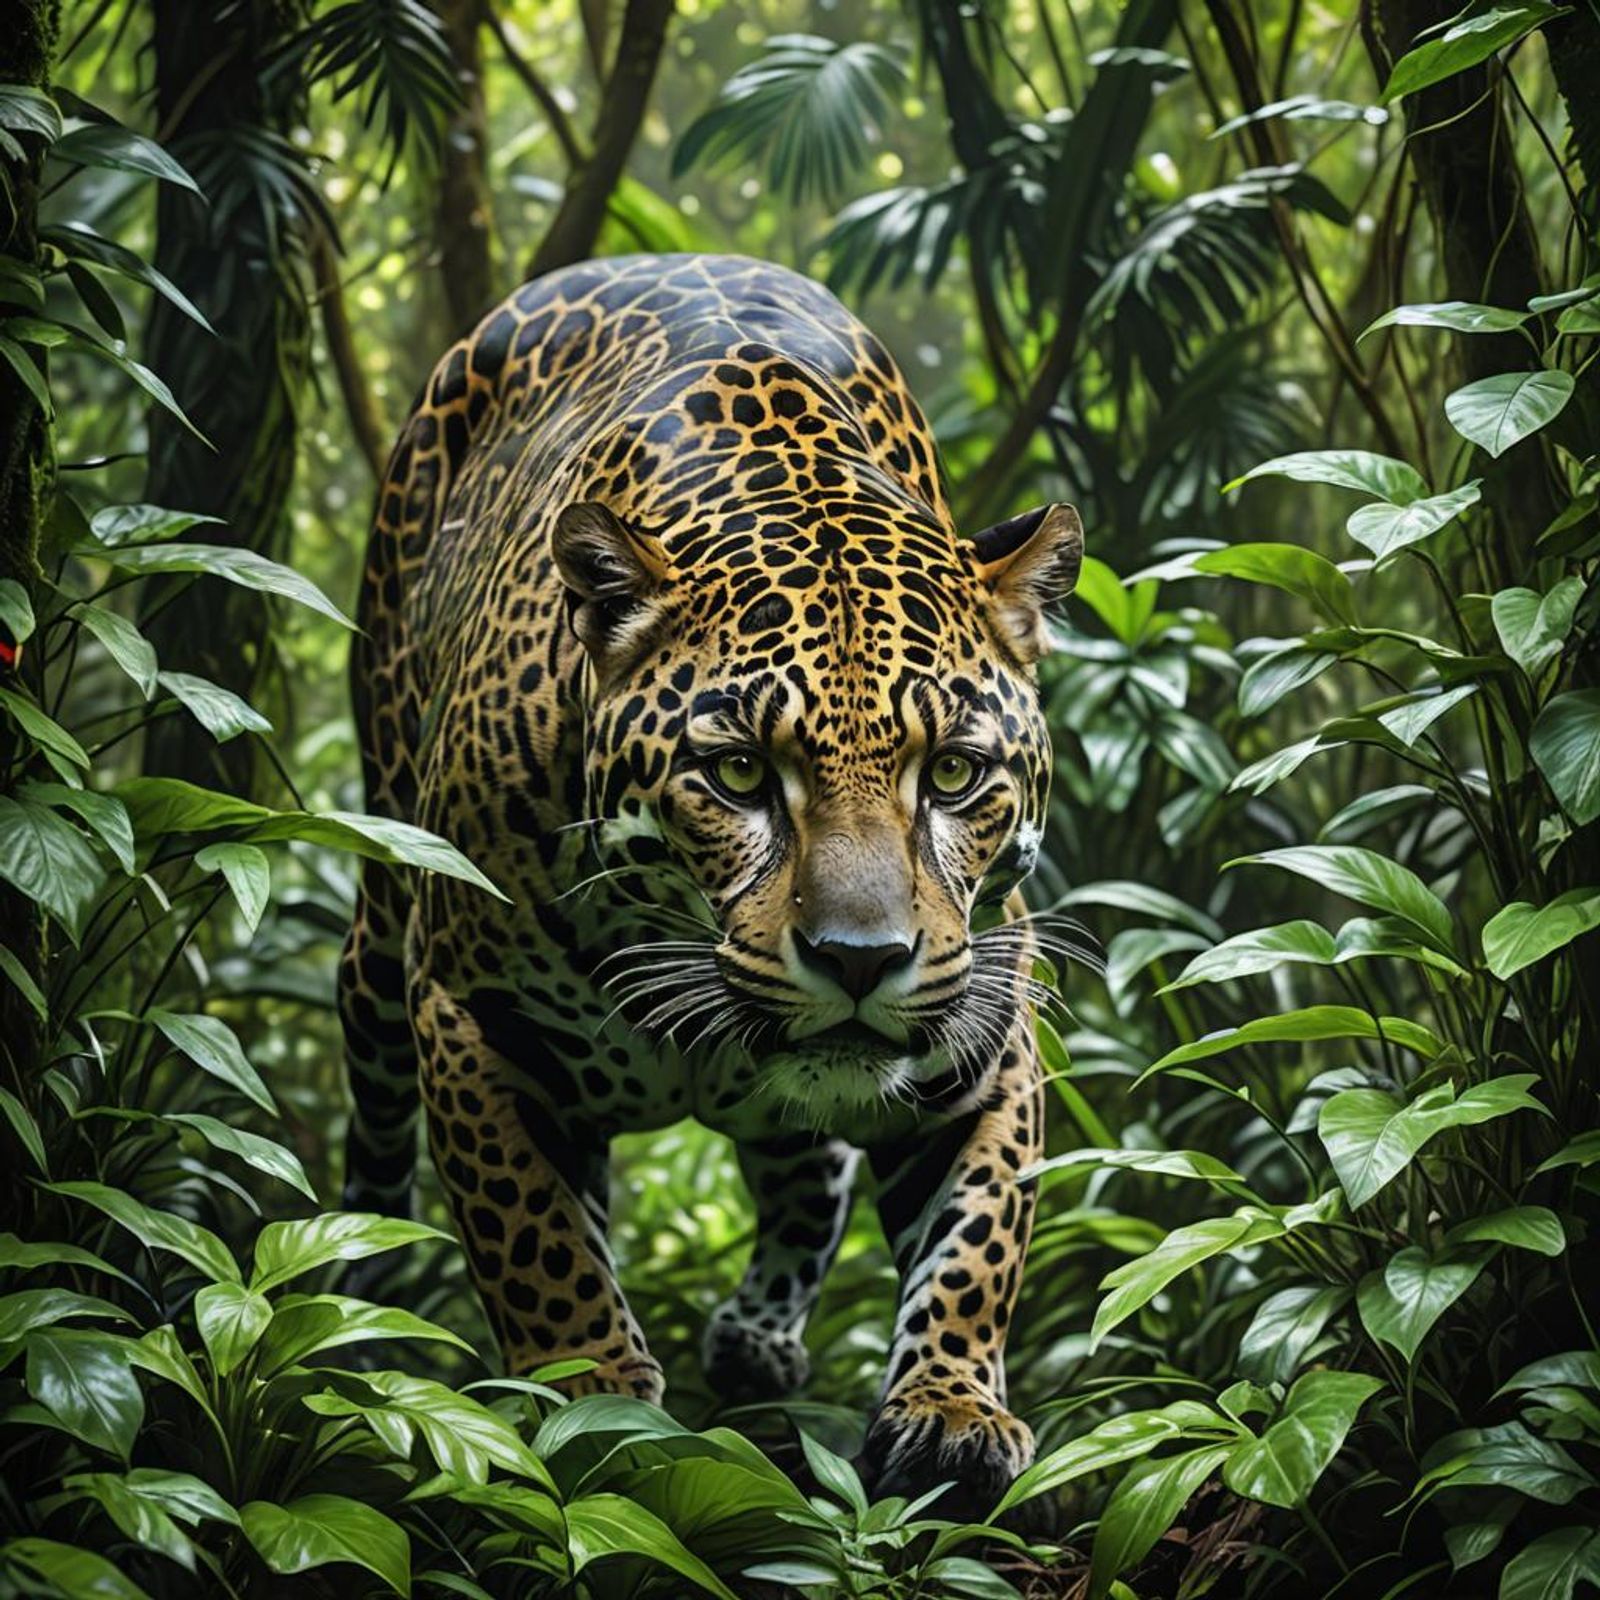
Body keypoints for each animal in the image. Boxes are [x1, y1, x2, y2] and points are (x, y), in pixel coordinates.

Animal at [338, 252, 1084, 1506]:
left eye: (952, 772)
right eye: (737, 773)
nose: (859, 961)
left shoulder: (982, 1026)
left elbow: (979, 1235)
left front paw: (949, 1408)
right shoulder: (467, 1014)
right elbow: (533, 1234)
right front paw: (589, 1397)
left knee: (803, 1160)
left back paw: (758, 1332)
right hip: (384, 915)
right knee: (384, 1118)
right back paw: (360, 1284)